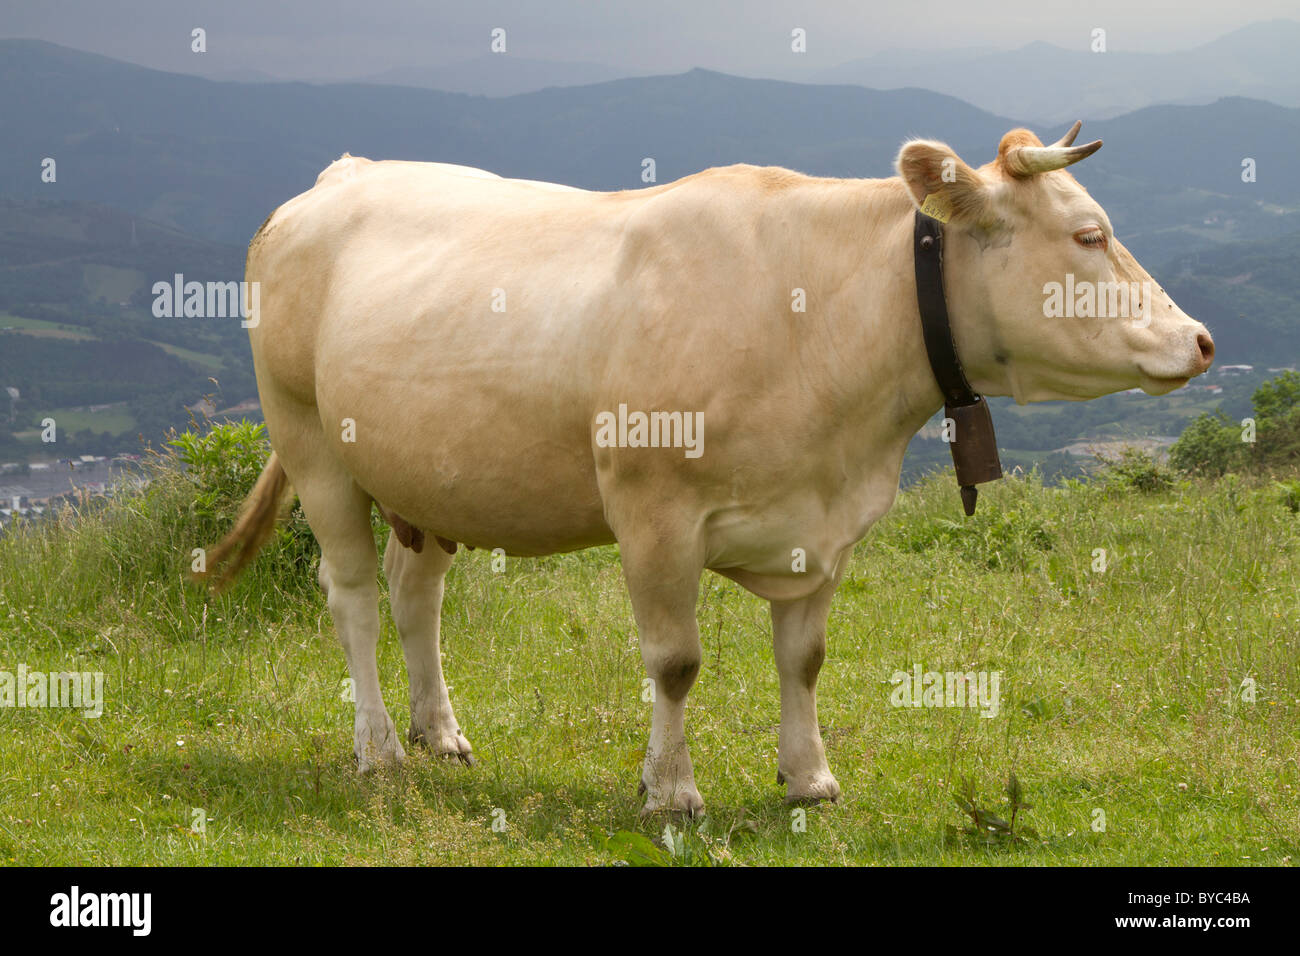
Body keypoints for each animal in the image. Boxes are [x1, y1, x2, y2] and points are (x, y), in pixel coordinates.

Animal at [201, 123, 1214, 815]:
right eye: (1088, 236)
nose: (1201, 340)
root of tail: (338, 178)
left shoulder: (826, 524)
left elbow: (805, 659)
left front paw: (809, 777)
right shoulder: (653, 513)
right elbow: (676, 661)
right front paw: (672, 790)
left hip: (431, 472)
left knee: (417, 597)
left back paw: (440, 731)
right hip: (313, 443)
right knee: (354, 597)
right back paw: (378, 749)